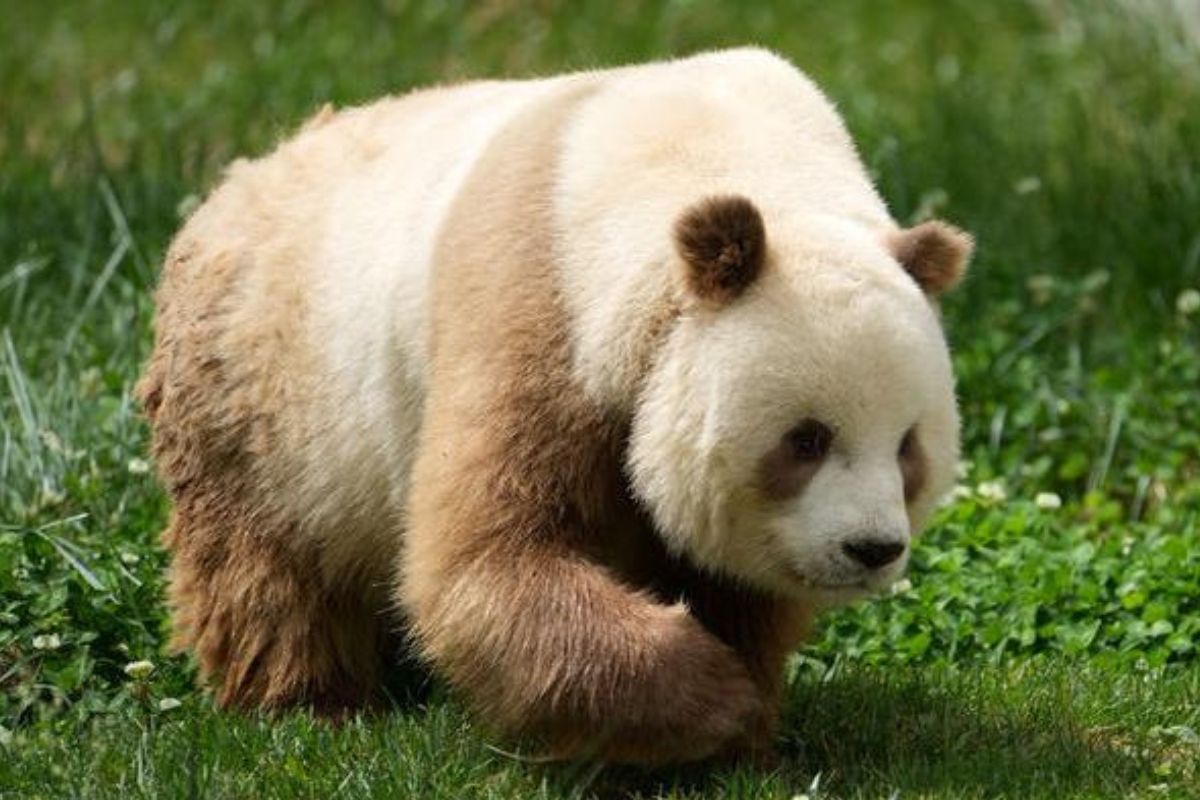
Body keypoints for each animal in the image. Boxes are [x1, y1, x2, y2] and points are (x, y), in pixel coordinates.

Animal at [137, 47, 971, 765]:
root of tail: (238, 178)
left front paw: (743, 727)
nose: (871, 549)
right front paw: (707, 699)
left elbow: (732, 585)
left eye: (908, 445)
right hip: (261, 398)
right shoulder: (537, 296)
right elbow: (486, 557)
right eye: (806, 439)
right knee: (266, 573)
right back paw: (311, 705)